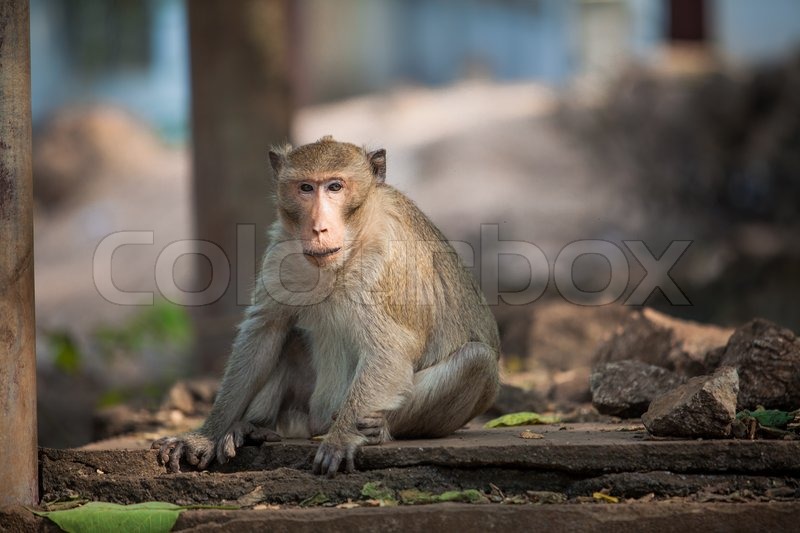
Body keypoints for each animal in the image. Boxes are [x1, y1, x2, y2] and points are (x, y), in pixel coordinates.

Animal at [153, 136, 500, 477]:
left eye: (335, 187)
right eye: (306, 188)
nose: (319, 228)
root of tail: (318, 422)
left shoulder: (388, 259)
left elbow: (390, 349)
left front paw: (342, 439)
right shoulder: (283, 249)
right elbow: (265, 332)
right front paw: (205, 435)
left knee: (477, 360)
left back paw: (377, 429)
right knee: (288, 338)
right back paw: (251, 429)